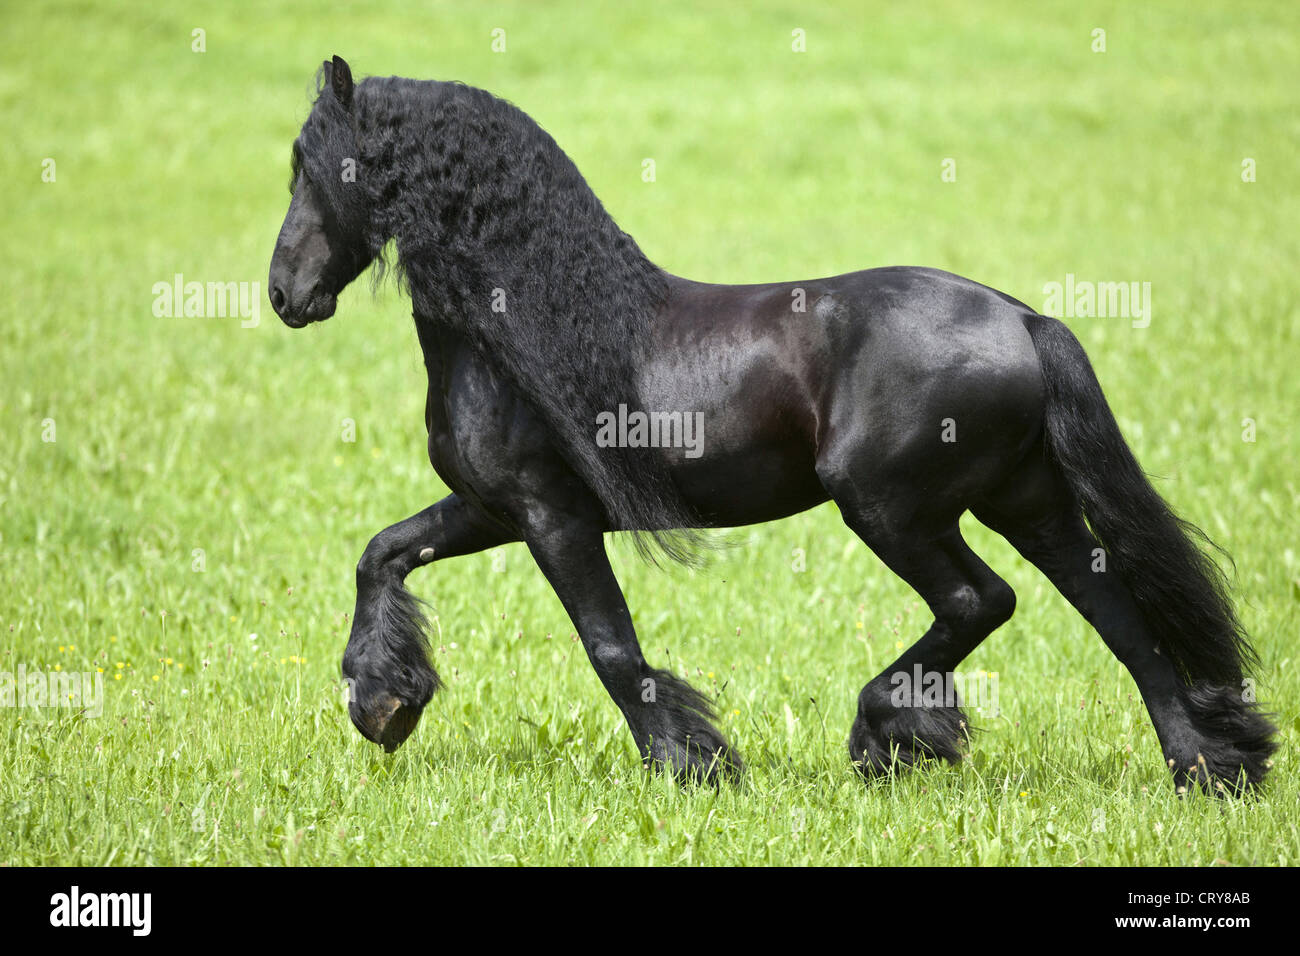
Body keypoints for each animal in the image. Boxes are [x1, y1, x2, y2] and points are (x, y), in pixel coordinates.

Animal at [268, 56, 1276, 794]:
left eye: (318, 168)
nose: (285, 294)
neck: (522, 330)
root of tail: (1022, 320)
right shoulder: (491, 510)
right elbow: (380, 555)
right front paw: (383, 707)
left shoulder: (553, 519)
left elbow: (610, 646)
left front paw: (692, 765)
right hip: (1024, 500)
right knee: (1113, 612)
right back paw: (1208, 766)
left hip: (891, 507)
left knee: (979, 601)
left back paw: (885, 736)